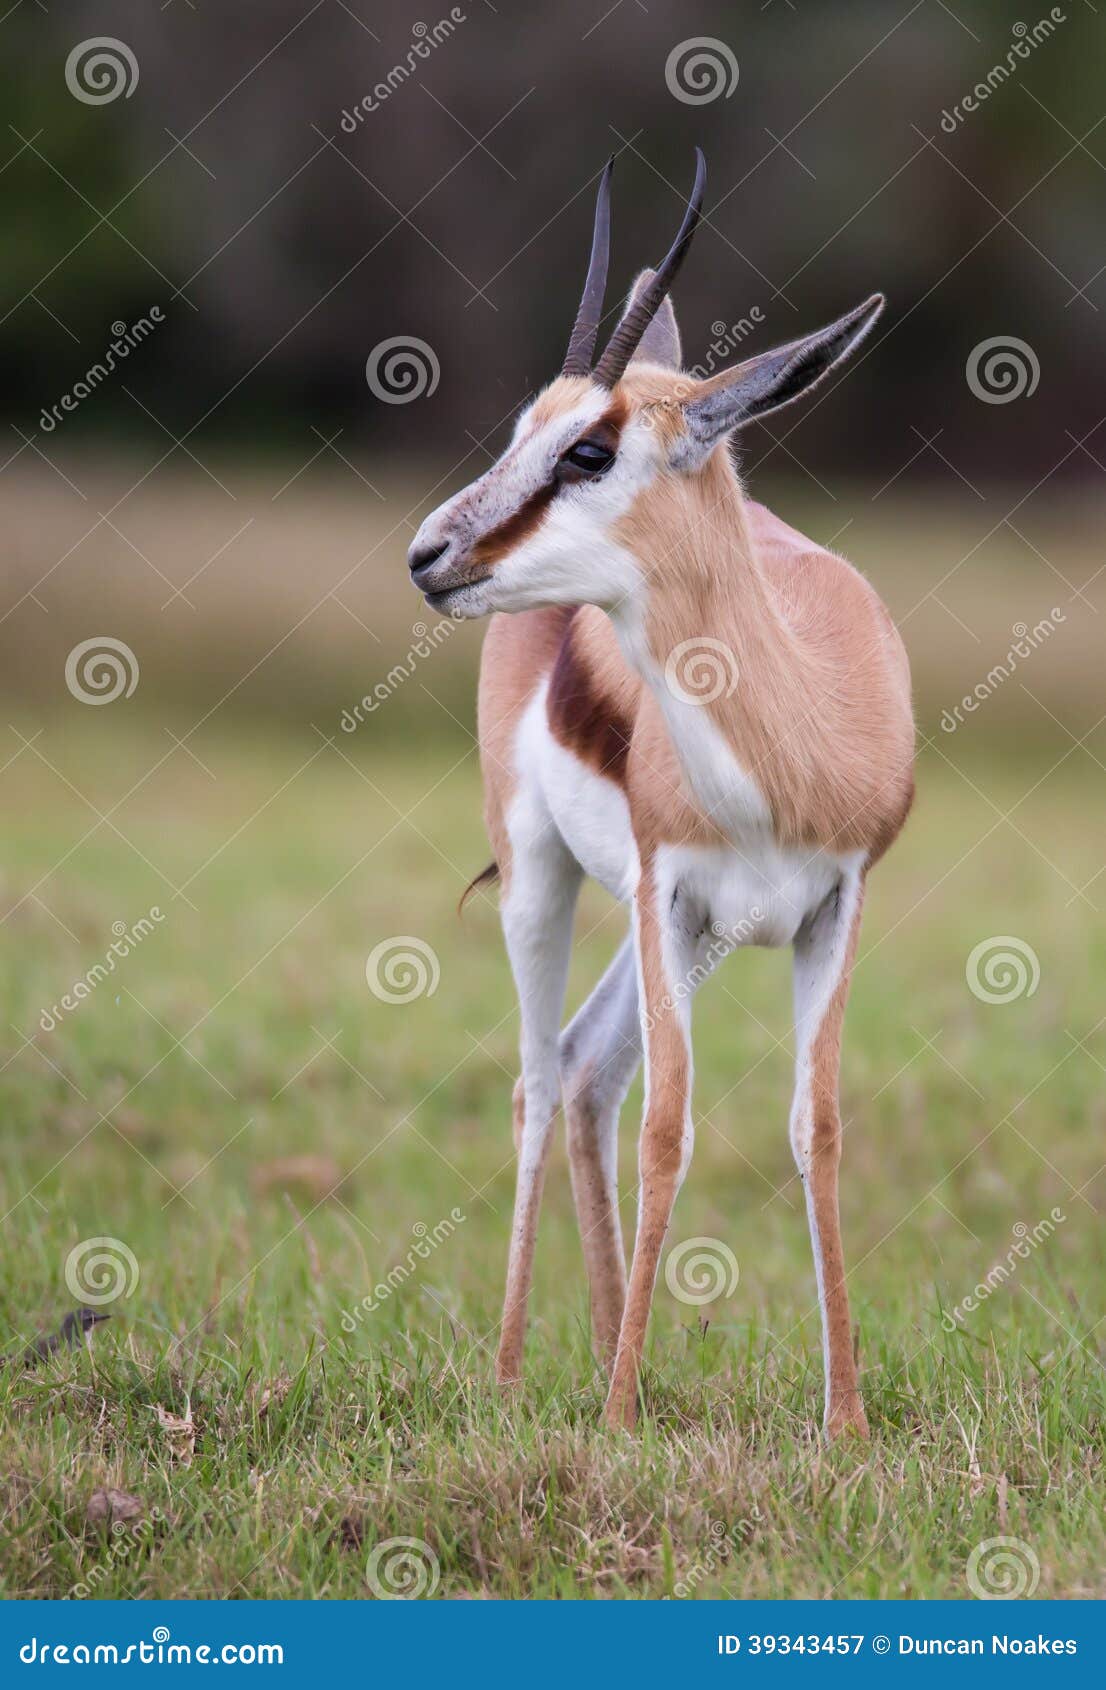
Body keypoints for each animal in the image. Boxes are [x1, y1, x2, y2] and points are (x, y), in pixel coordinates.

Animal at [407, 152, 914, 1438]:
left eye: (588, 451)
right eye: (521, 433)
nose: (427, 554)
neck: (797, 739)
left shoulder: (833, 905)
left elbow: (815, 1125)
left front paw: (843, 1424)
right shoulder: (663, 886)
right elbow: (670, 1126)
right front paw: (618, 1422)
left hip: (690, 935)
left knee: (588, 1067)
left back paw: (597, 1351)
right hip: (550, 883)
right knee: (543, 1078)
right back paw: (518, 1373)